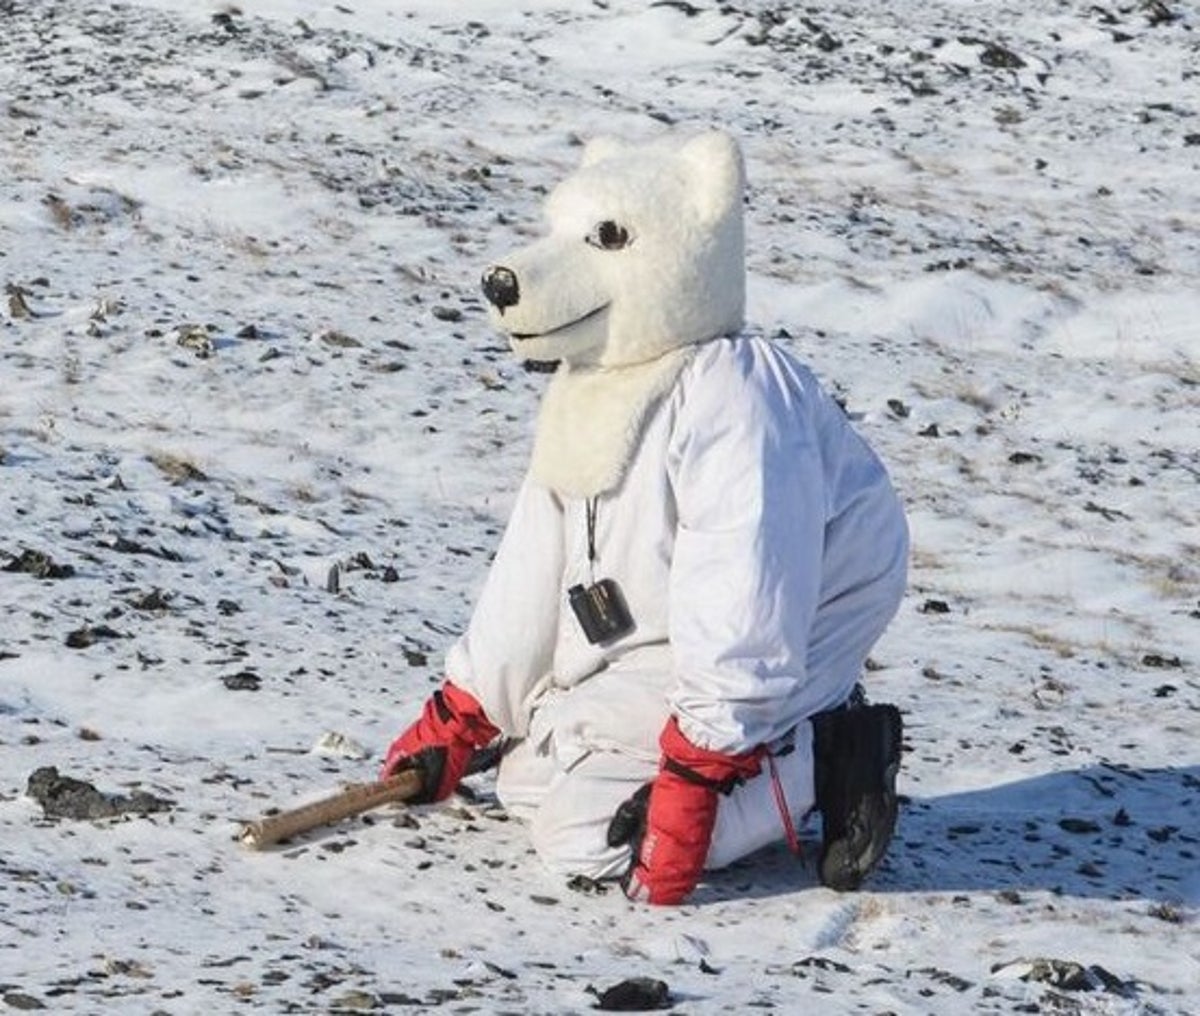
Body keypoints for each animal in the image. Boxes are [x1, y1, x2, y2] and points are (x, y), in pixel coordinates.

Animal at [381, 130, 909, 905]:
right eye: (550, 223)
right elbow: (520, 599)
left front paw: (671, 831)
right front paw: (437, 740)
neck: (650, 368)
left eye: (611, 234)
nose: (500, 282)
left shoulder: (744, 416)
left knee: (607, 797)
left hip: (689, 688)